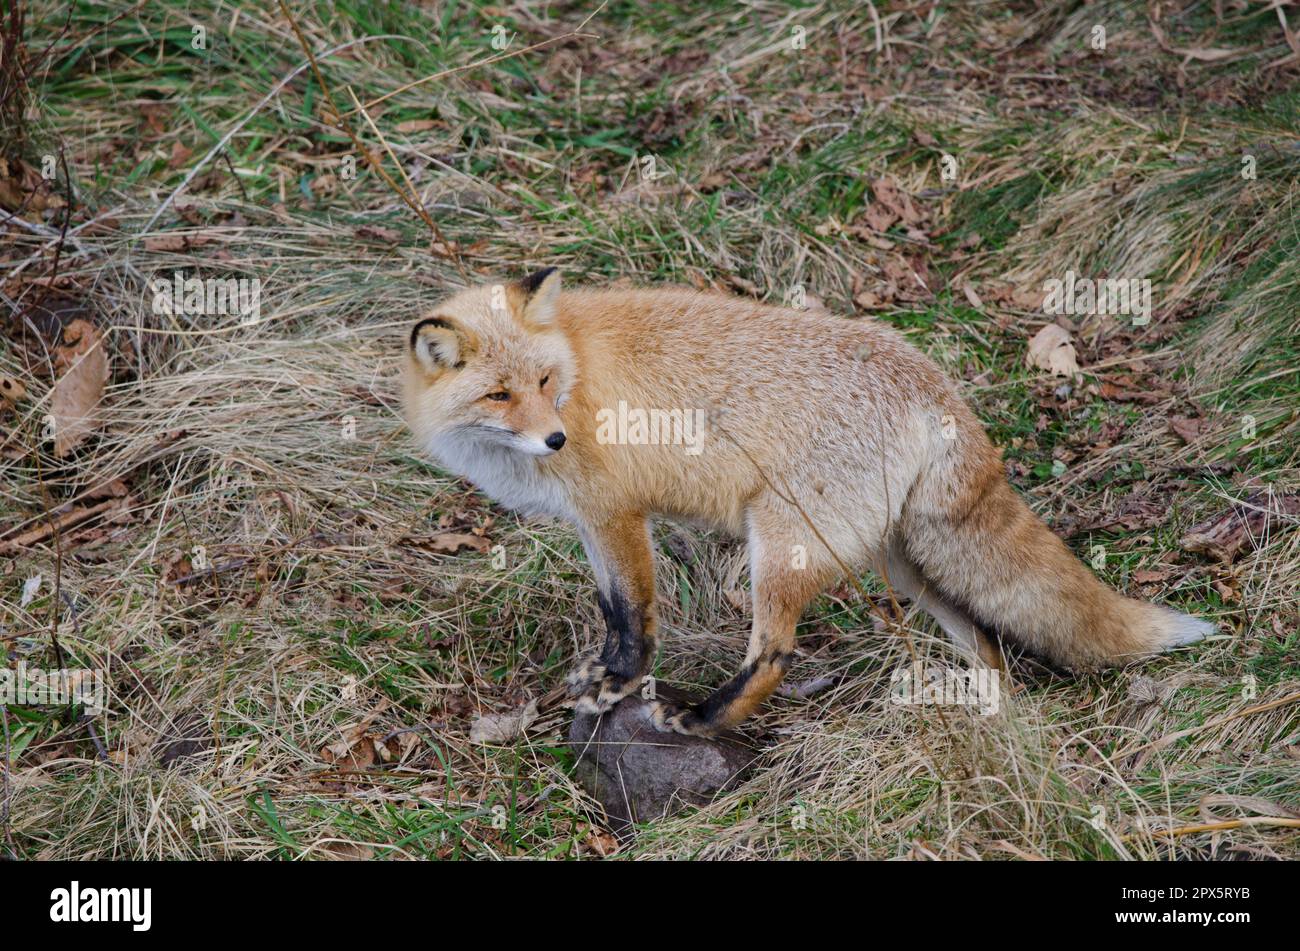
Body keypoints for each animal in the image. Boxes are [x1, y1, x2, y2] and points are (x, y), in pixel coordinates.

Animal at [402, 268, 1213, 736]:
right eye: (499, 394)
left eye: (542, 383)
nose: (557, 439)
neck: (575, 371)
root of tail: (934, 382)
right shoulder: (591, 524)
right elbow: (610, 609)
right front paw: (599, 676)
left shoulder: (614, 513)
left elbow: (633, 617)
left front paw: (619, 686)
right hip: (903, 564)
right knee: (984, 636)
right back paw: (985, 713)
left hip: (784, 546)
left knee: (775, 654)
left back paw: (702, 718)